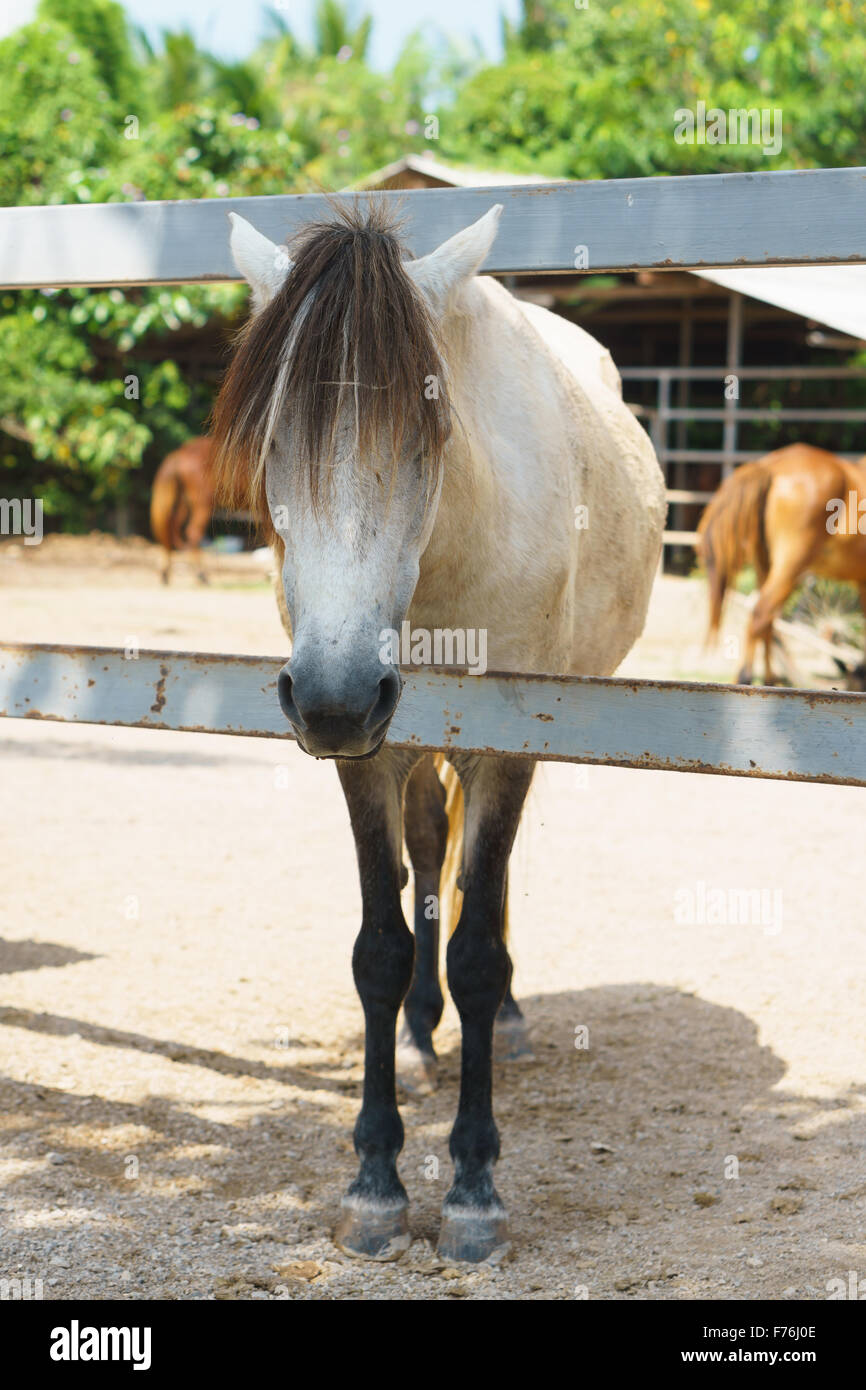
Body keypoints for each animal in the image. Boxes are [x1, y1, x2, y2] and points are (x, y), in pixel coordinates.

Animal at [150, 435, 215, 584]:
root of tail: (179, 453)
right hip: (202, 504)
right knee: (192, 532)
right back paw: (201, 574)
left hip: (183, 503)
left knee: (171, 528)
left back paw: (166, 573)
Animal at [210, 201, 665, 1263]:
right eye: (275, 446)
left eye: (429, 439)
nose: (335, 700)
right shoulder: (366, 759)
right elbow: (380, 947)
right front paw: (376, 1184)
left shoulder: (506, 745)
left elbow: (478, 947)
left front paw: (472, 1193)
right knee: (430, 860)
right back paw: (423, 1036)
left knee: (480, 893)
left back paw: (507, 1022)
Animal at [698, 443, 866, 684]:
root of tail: (771, 465)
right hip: (792, 565)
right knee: (761, 615)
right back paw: (746, 677)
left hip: (766, 564)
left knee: (768, 621)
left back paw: (770, 680)